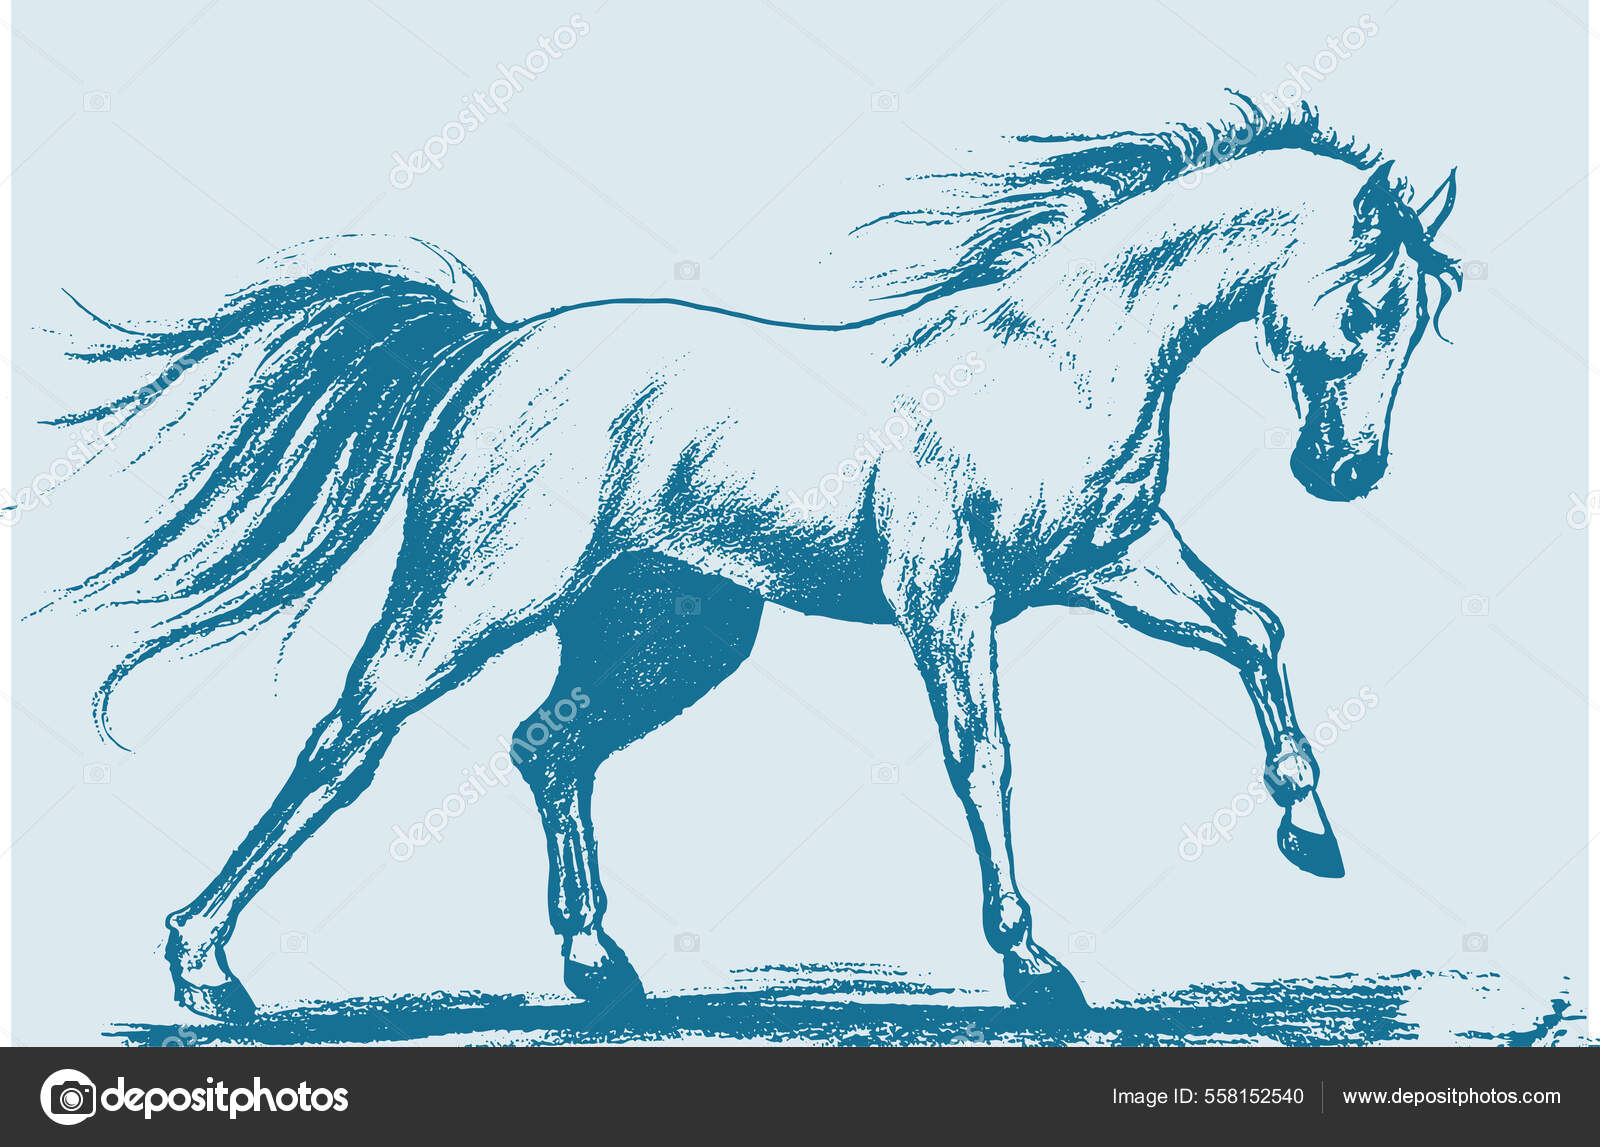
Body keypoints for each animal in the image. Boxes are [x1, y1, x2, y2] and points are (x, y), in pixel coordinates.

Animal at [50, 101, 1460, 1023]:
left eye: (1422, 316)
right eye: (1371, 302)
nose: (1346, 472)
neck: (1056, 356)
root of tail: (493, 346)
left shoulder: (1108, 564)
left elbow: (1256, 627)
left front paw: (1309, 831)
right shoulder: (946, 596)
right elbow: (986, 755)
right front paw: (1035, 968)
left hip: (667, 629)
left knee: (546, 743)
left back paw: (598, 967)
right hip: (473, 597)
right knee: (345, 741)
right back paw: (206, 968)